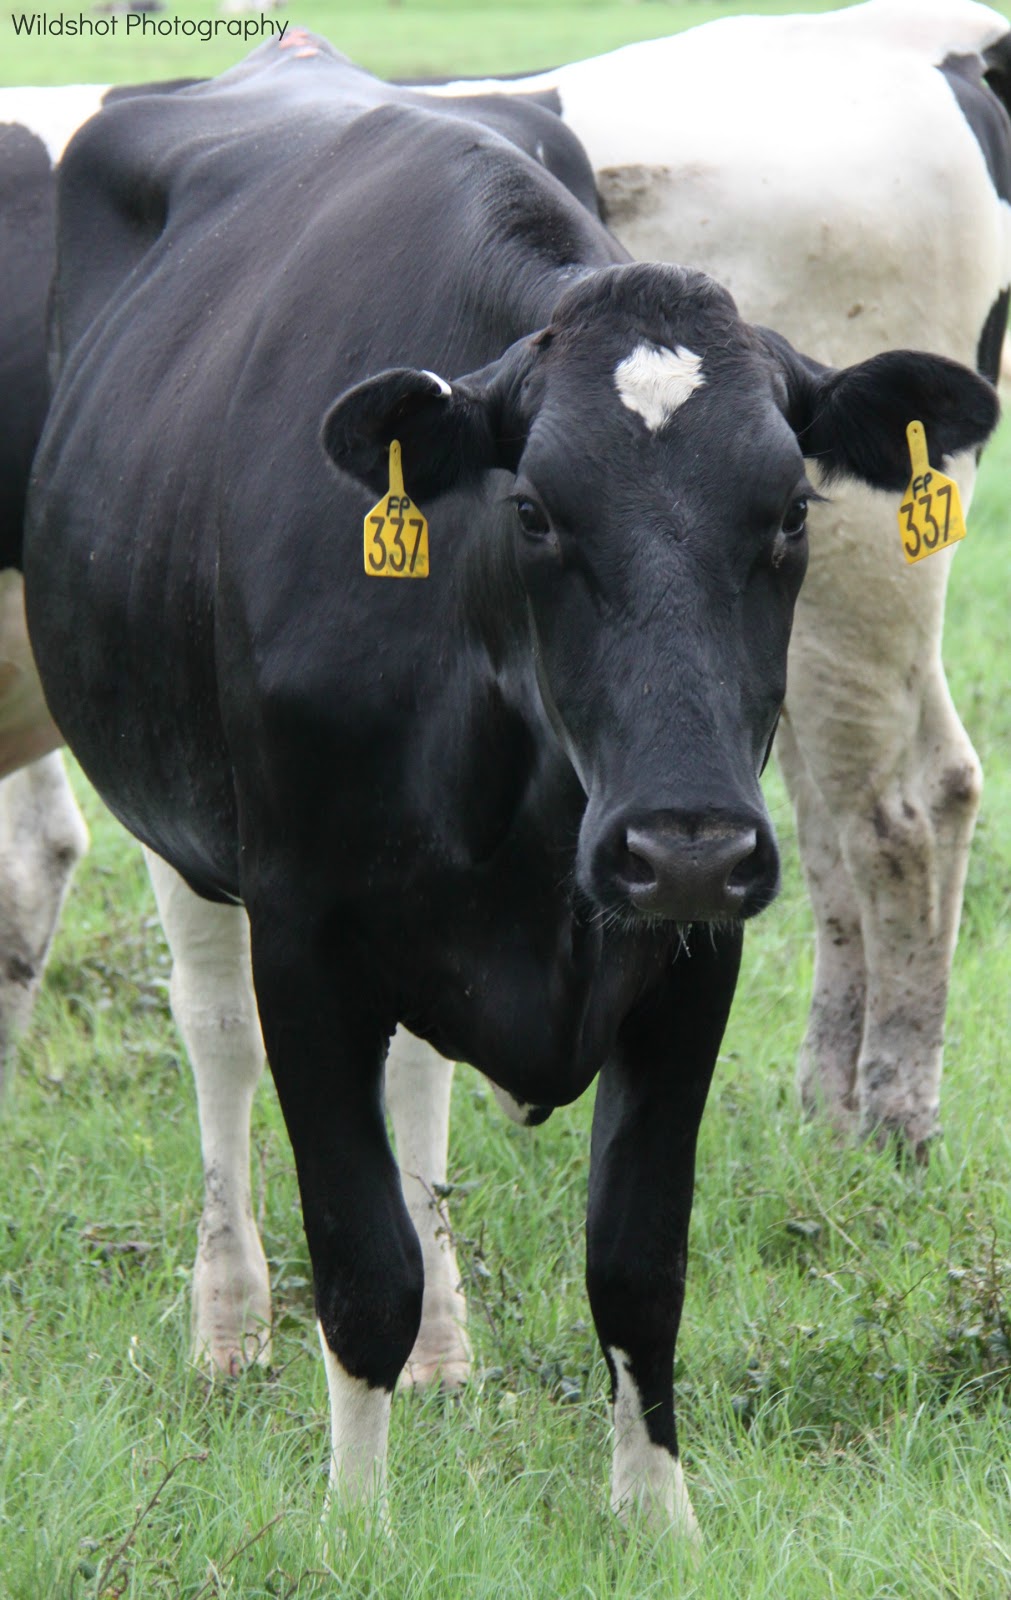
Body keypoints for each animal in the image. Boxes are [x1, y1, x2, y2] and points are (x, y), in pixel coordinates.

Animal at [23, 36, 996, 1534]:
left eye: (789, 514)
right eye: (535, 510)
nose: (683, 844)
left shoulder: (691, 953)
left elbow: (638, 1265)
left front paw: (658, 1522)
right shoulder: (305, 937)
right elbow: (358, 1260)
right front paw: (357, 1527)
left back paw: (448, 1348)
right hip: (190, 833)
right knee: (215, 1038)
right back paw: (232, 1323)